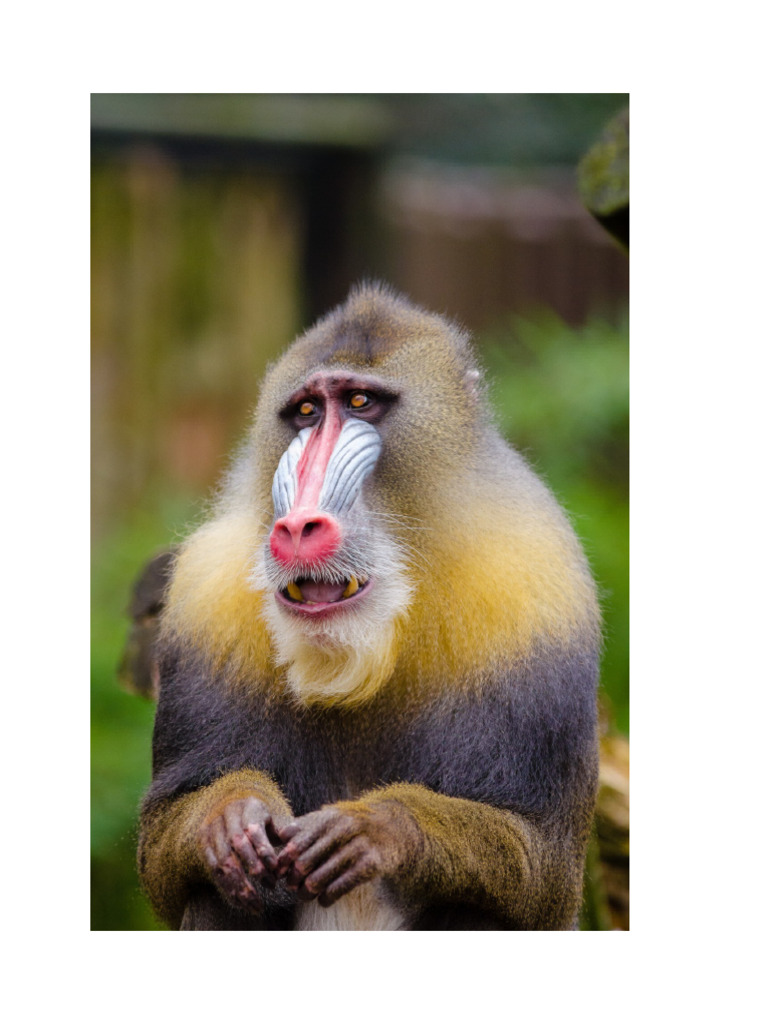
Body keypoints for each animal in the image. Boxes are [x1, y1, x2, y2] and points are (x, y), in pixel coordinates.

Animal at [137, 282, 601, 930]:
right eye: (307, 412)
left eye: (360, 401)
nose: (297, 526)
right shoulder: (204, 595)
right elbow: (163, 849)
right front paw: (232, 817)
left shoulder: (539, 591)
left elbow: (541, 863)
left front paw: (378, 828)